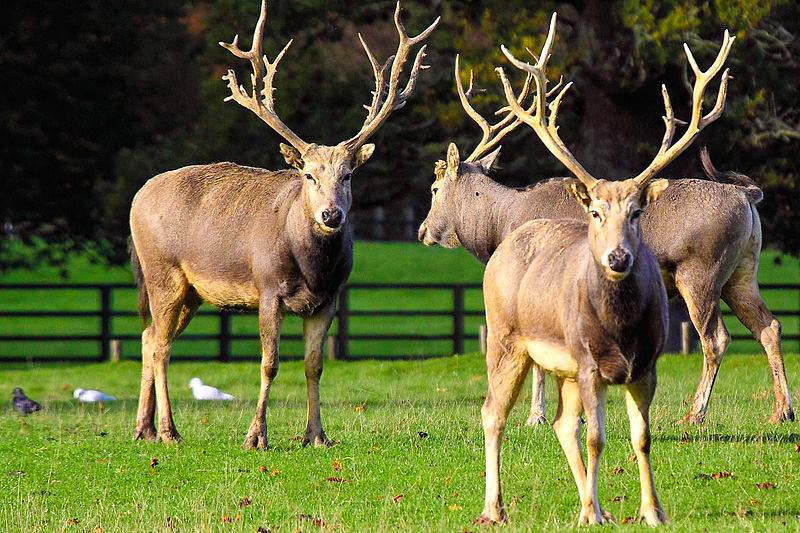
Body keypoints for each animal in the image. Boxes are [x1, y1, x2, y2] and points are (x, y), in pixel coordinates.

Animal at [129, 0, 439, 448]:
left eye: (348, 175)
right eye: (308, 174)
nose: (331, 215)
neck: (311, 267)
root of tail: (137, 197)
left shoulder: (328, 298)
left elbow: (314, 365)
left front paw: (316, 435)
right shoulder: (267, 288)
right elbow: (269, 363)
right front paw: (256, 436)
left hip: (192, 291)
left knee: (149, 336)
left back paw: (144, 427)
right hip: (161, 273)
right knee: (160, 346)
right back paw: (169, 430)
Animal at [419, 31, 793, 429]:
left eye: (434, 188)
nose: (423, 230)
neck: (500, 226)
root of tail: (747, 195)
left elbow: (538, 360)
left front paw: (537, 416)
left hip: (700, 272)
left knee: (716, 338)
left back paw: (694, 414)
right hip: (742, 272)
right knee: (770, 326)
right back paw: (781, 410)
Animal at [476, 14, 733, 525]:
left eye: (636, 212)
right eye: (595, 212)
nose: (618, 258)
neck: (620, 330)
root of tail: (505, 244)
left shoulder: (644, 366)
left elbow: (640, 438)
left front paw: (651, 512)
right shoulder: (590, 363)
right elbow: (597, 437)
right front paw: (592, 516)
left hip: (564, 367)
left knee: (560, 425)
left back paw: (594, 505)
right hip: (507, 337)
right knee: (493, 413)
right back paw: (496, 509)